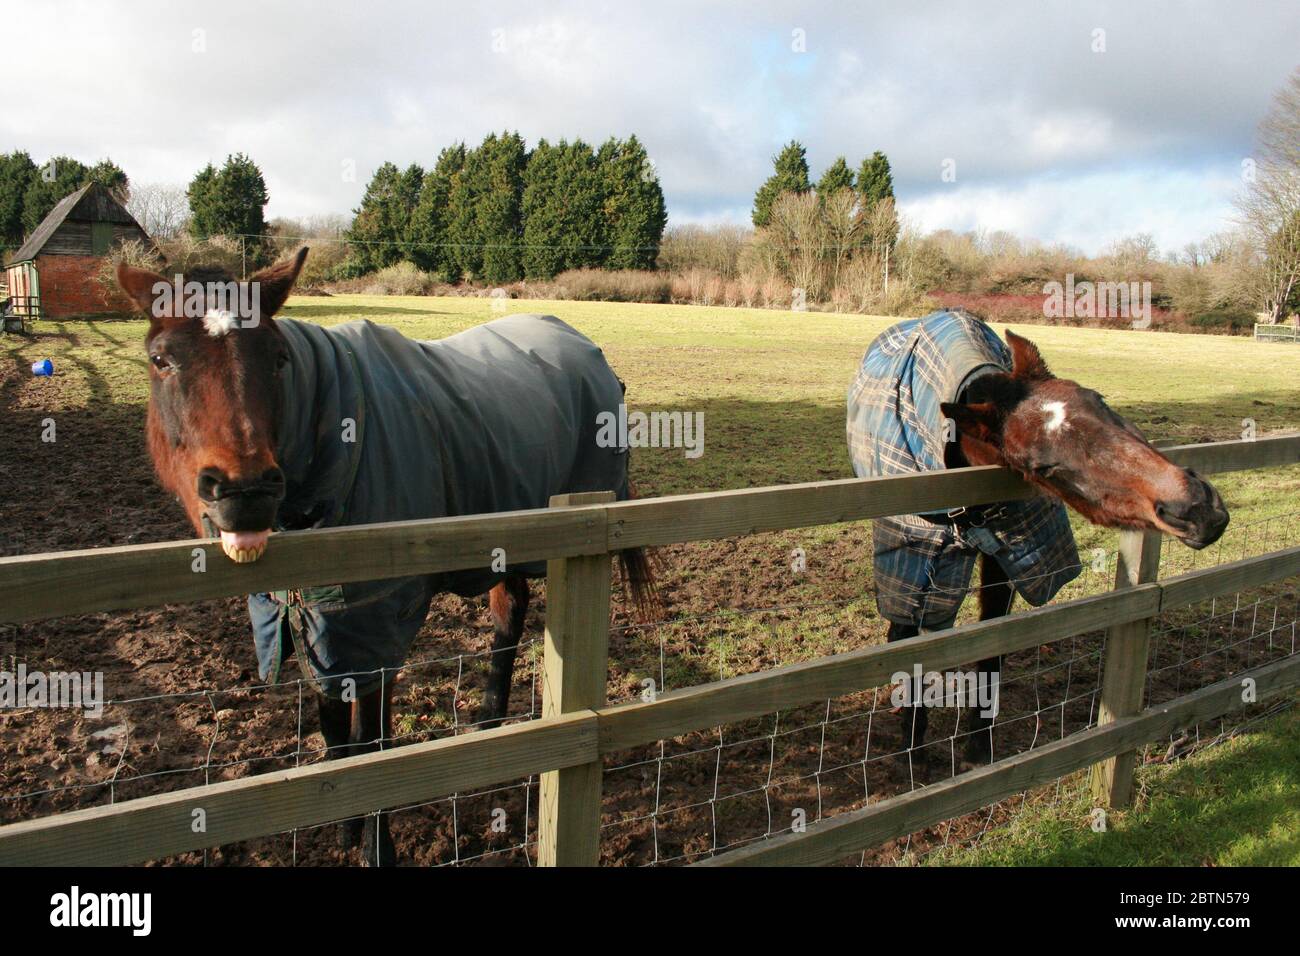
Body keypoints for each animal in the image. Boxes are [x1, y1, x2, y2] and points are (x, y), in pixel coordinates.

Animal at [117, 249, 657, 865]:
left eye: (278, 358)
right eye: (160, 359)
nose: (243, 491)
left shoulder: (377, 627)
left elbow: (373, 742)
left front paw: (376, 848)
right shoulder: (313, 619)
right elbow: (333, 725)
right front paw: (342, 828)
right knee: (509, 610)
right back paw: (488, 724)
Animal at [847, 310, 1229, 763]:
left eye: (1098, 399)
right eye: (1042, 467)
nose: (1195, 508)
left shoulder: (1005, 562)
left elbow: (990, 646)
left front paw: (980, 747)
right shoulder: (913, 563)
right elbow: (907, 646)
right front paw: (912, 750)